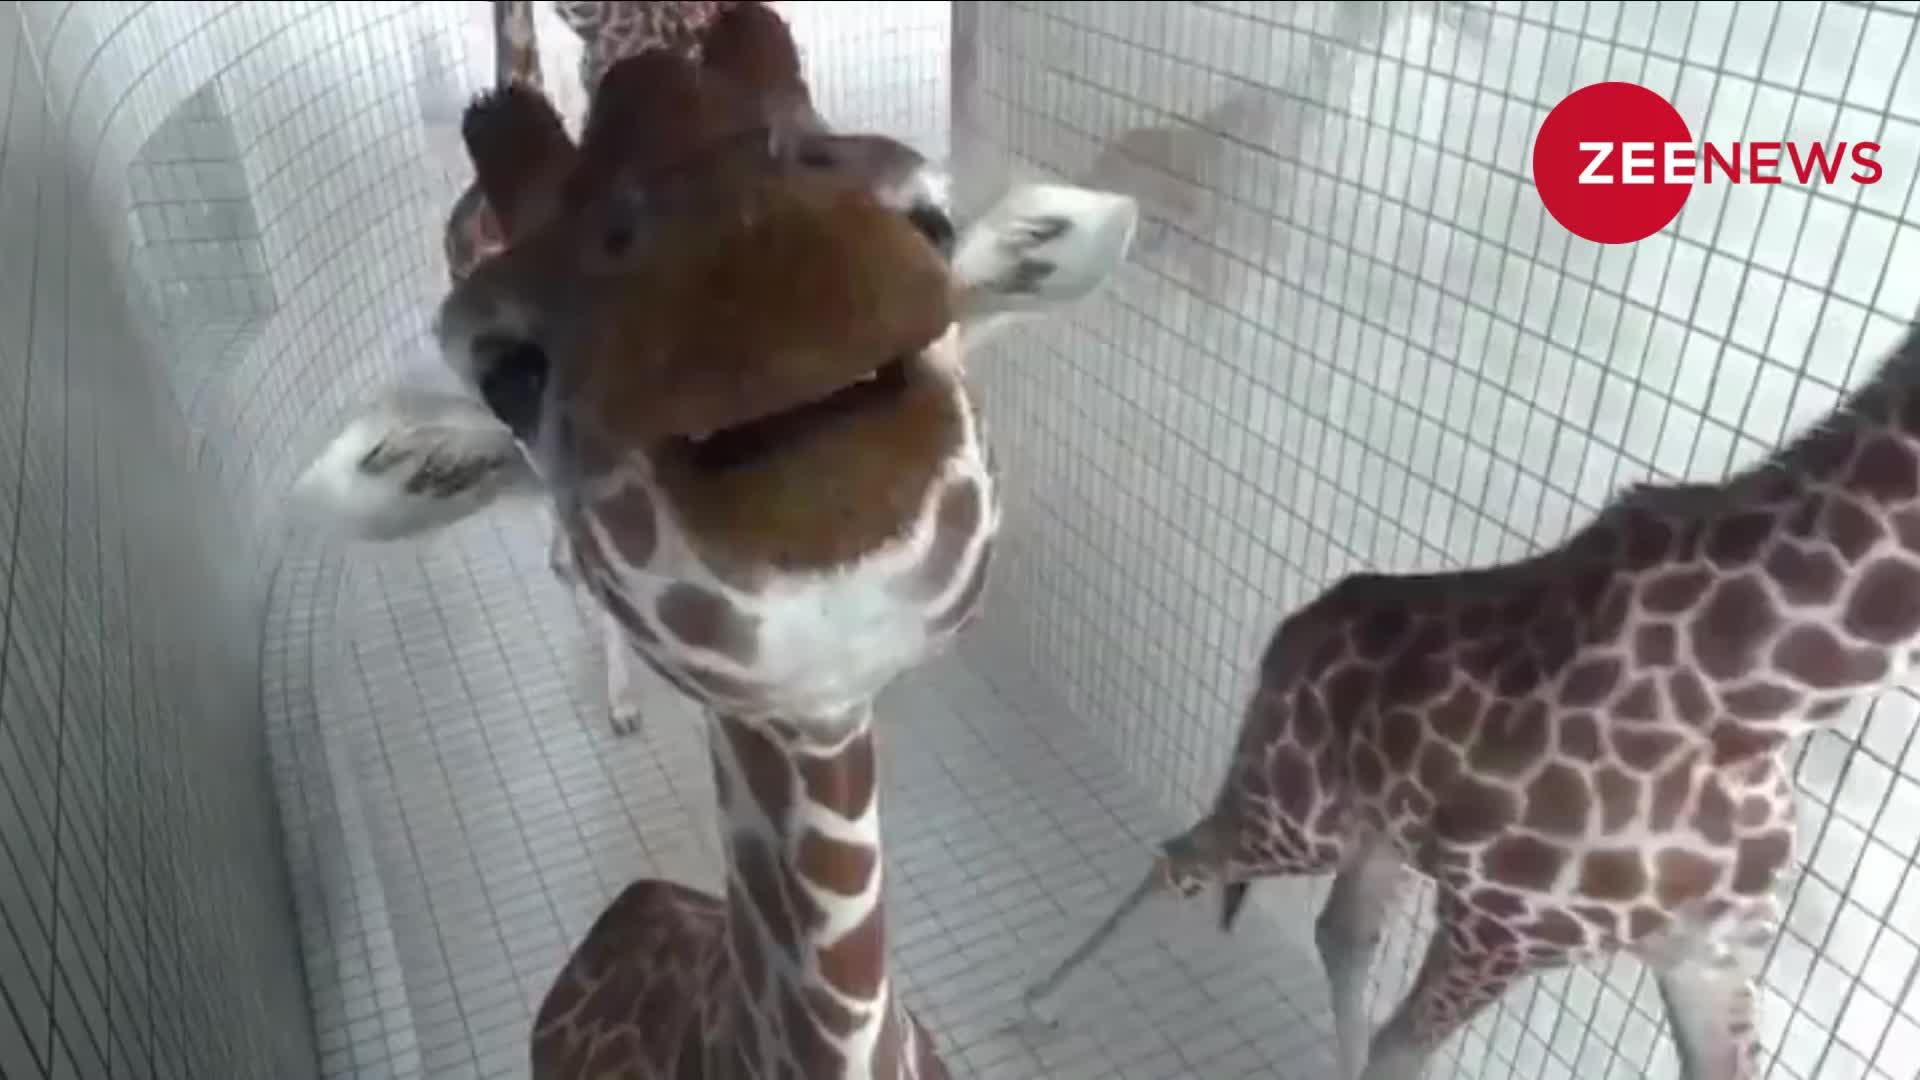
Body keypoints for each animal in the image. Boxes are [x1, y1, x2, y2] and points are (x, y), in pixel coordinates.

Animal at [1020, 318, 1920, 1080]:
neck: (1768, 695)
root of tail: (1288, 637)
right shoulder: (1499, 928)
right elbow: (1401, 1053)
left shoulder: (1708, 947)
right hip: (1297, 815)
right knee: (1183, 859)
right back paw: (1036, 1003)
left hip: (1371, 829)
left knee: (1340, 932)